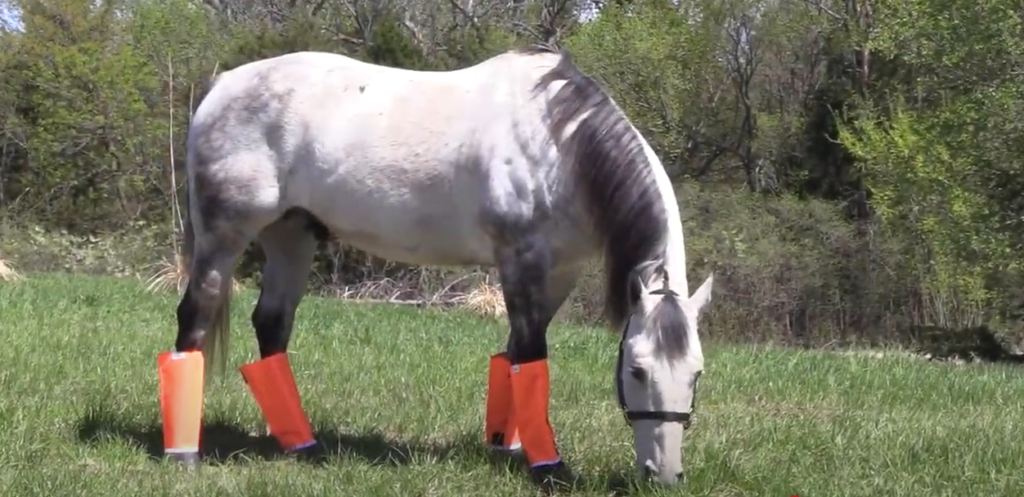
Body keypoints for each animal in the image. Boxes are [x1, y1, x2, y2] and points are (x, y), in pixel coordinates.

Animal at [156, 44, 714, 487]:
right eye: (637, 369)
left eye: (698, 373)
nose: (663, 476)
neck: (558, 146)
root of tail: (223, 85)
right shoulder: (521, 261)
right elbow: (531, 355)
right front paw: (547, 465)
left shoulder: (559, 273)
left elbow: (514, 356)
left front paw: (507, 446)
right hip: (225, 236)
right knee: (195, 317)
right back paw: (184, 454)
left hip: (291, 235)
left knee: (272, 326)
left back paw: (301, 444)